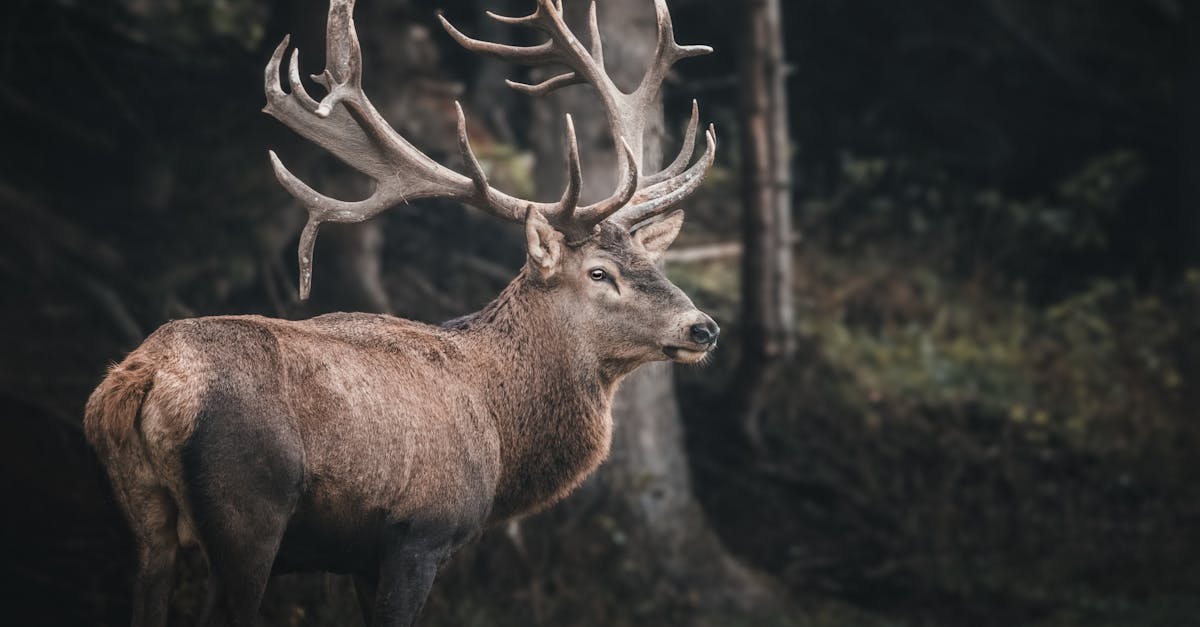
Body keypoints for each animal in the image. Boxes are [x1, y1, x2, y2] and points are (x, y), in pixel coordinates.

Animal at [87, 1, 720, 624]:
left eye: (649, 259)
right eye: (599, 273)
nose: (704, 327)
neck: (501, 436)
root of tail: (144, 379)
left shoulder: (357, 559)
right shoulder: (420, 532)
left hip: (144, 520)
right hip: (247, 509)